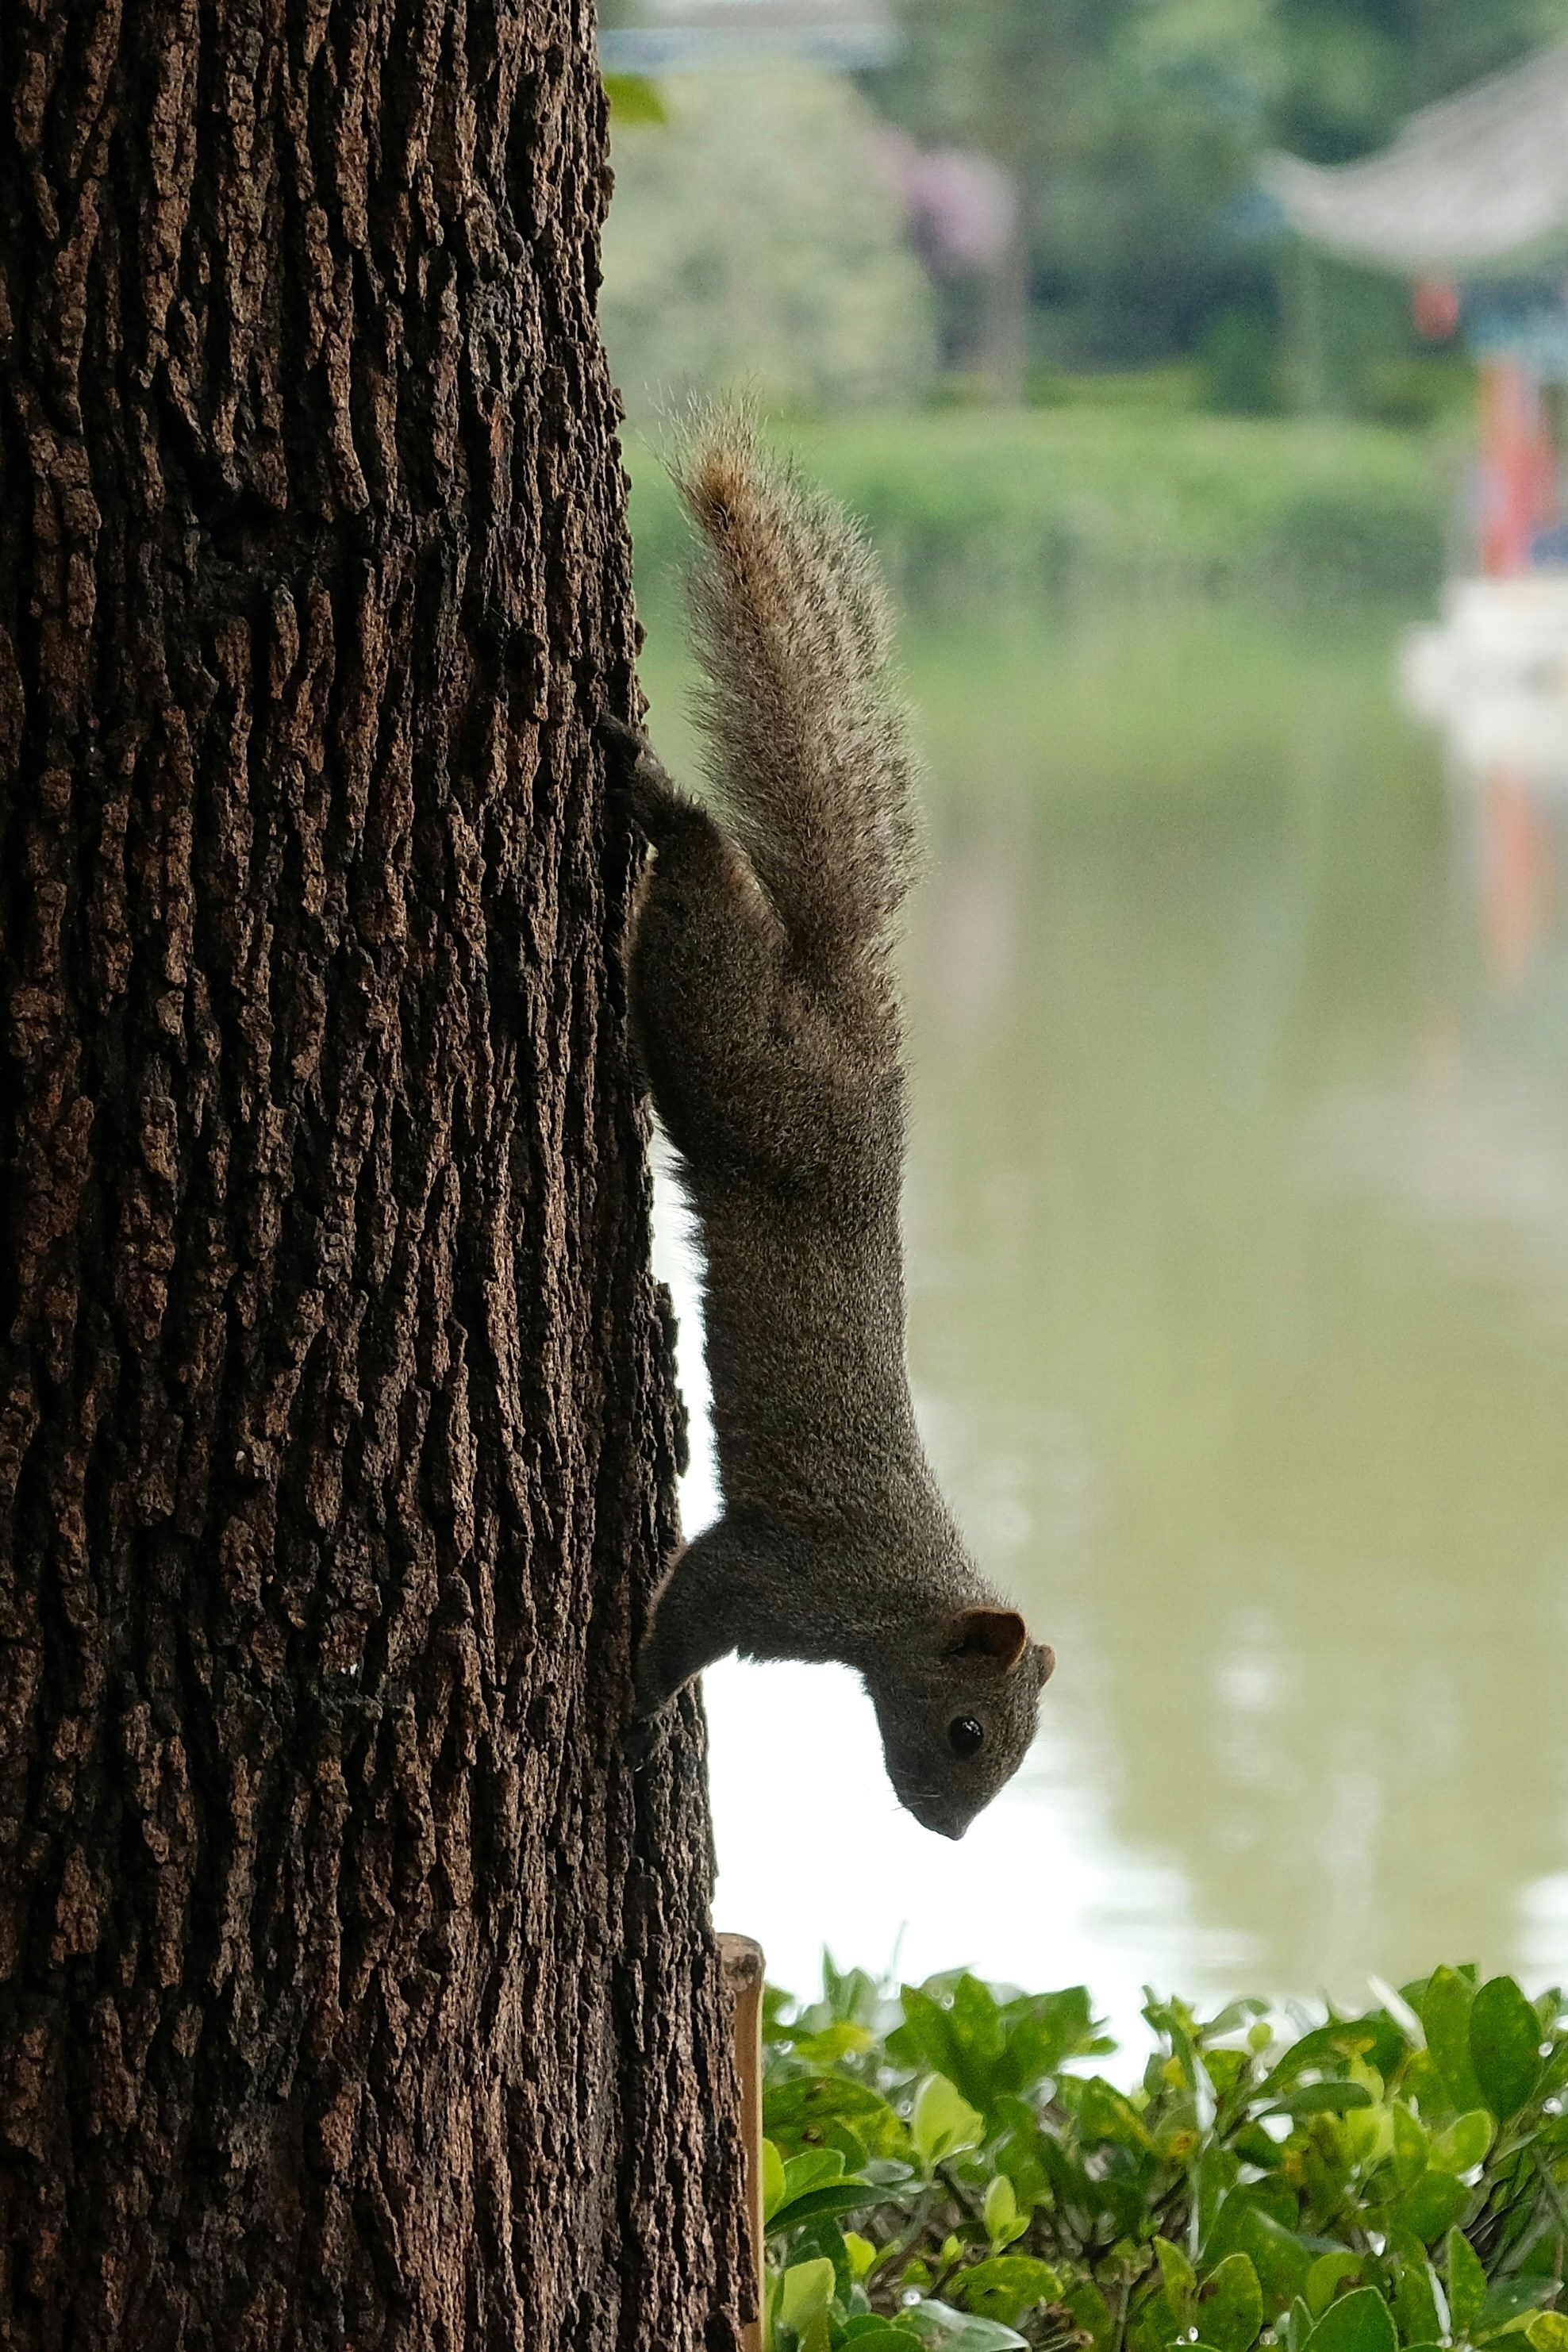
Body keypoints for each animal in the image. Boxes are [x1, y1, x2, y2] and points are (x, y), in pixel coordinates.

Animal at [601, 417, 1054, 1840]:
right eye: (967, 1730)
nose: (948, 1831)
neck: (901, 1596)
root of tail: (840, 1002)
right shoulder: (778, 1575)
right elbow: (684, 1615)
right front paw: (634, 1711)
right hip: (734, 1040)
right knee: (698, 865)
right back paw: (654, 791)